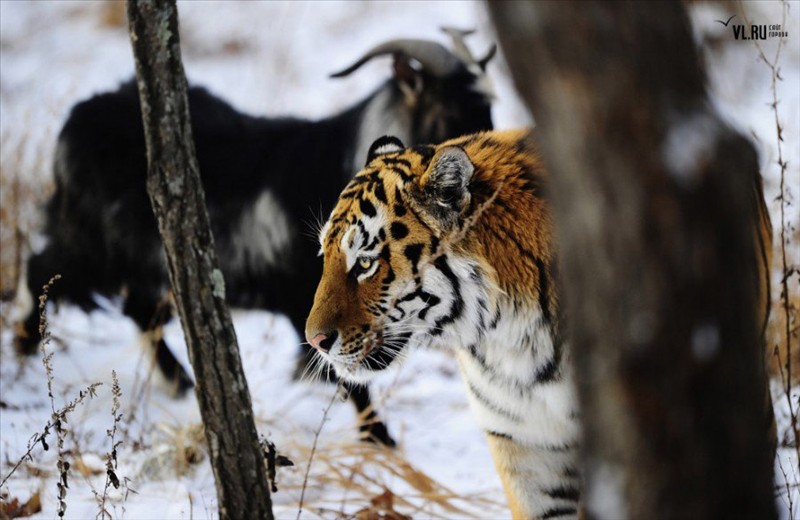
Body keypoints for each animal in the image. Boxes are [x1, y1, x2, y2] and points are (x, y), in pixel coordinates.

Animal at [13, 32, 495, 446]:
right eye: (450, 113)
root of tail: (74, 122)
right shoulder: (315, 299)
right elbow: (347, 376)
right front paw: (381, 441)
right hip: (93, 245)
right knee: (42, 270)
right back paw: (22, 356)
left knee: (137, 308)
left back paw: (179, 381)